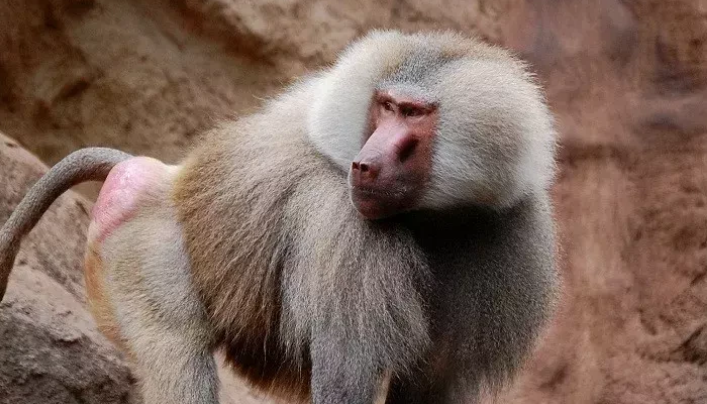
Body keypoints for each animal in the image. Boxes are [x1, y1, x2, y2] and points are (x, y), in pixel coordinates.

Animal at [0, 30, 558, 404]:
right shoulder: (341, 229)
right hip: (141, 240)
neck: (430, 217)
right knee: (177, 353)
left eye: (414, 113)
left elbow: (431, 385)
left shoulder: (506, 237)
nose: (363, 165)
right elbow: (344, 375)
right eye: (385, 105)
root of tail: (165, 175)